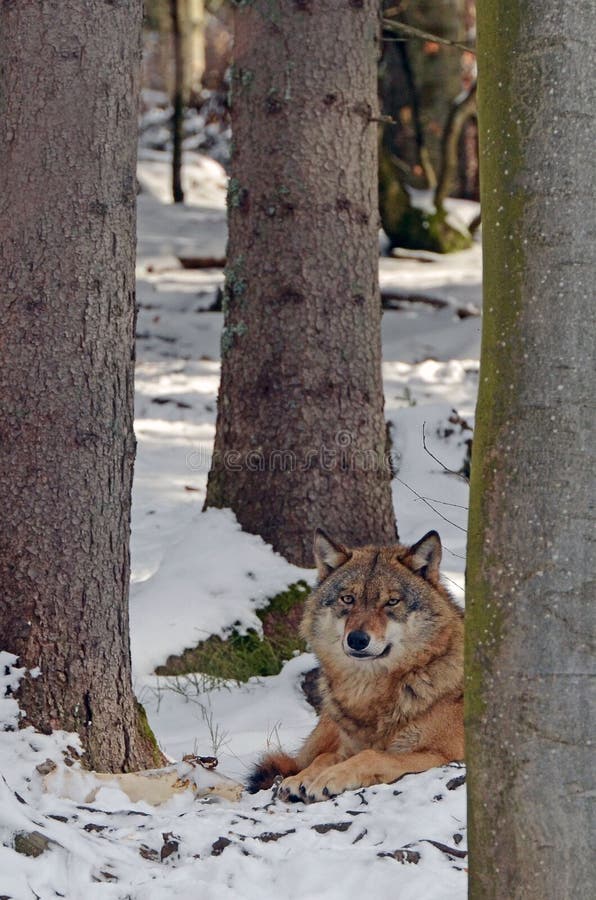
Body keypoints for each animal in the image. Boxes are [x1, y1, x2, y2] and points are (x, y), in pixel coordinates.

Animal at [247, 528, 464, 802]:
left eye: (392, 602)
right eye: (348, 599)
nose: (357, 639)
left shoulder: (446, 755)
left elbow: (371, 755)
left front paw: (329, 778)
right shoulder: (347, 746)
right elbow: (326, 757)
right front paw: (303, 779)